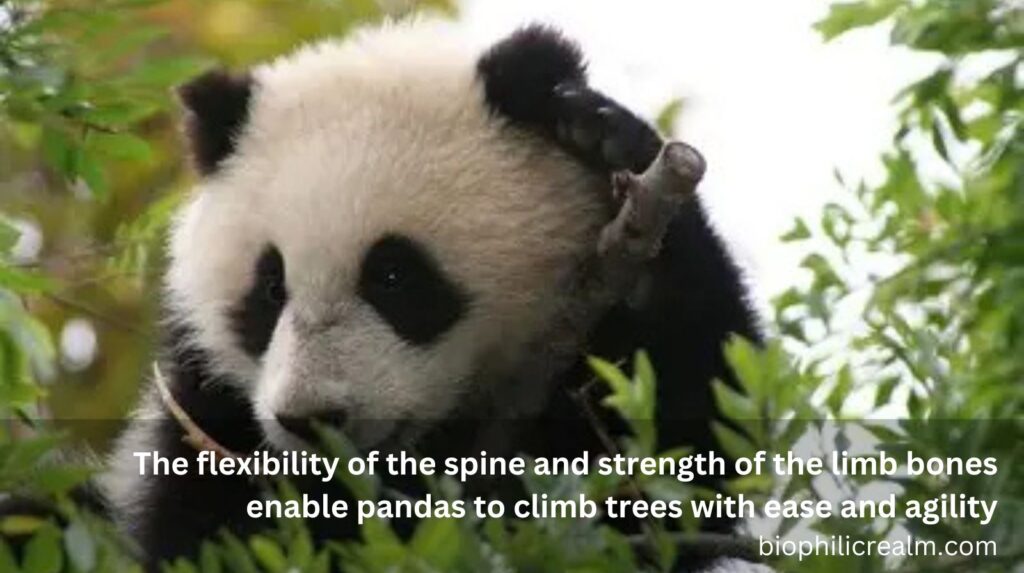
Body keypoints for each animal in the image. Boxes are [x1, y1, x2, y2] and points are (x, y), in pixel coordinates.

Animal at [97, 19, 763, 572]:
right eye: (270, 287)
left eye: (394, 277)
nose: (311, 420)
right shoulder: (205, 411)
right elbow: (206, 531)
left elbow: (684, 458)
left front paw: (605, 137)